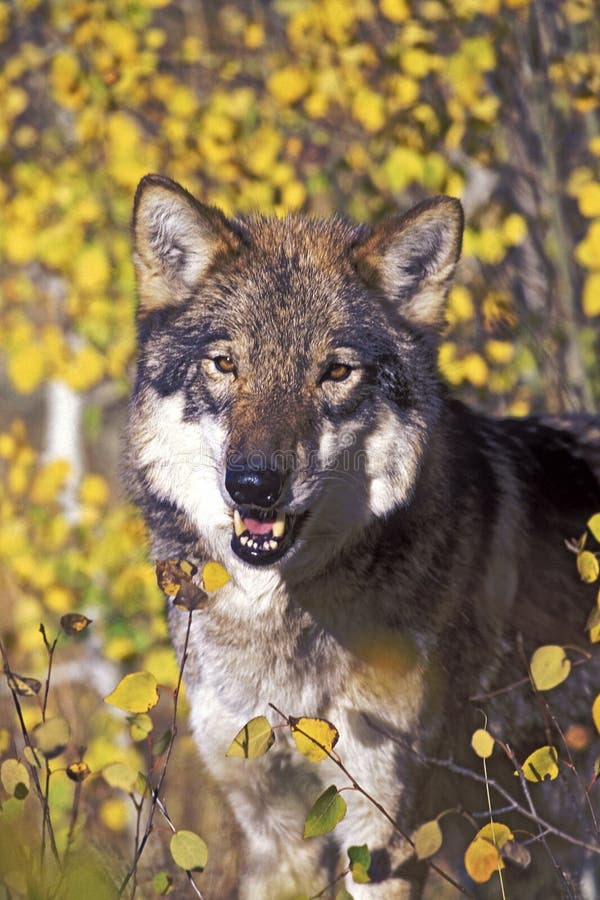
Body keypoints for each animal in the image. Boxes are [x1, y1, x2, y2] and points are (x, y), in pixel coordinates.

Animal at [128, 173, 600, 899]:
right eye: (225, 363)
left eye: (335, 372)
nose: (254, 484)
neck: (278, 621)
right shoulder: (273, 834)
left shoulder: (382, 832)